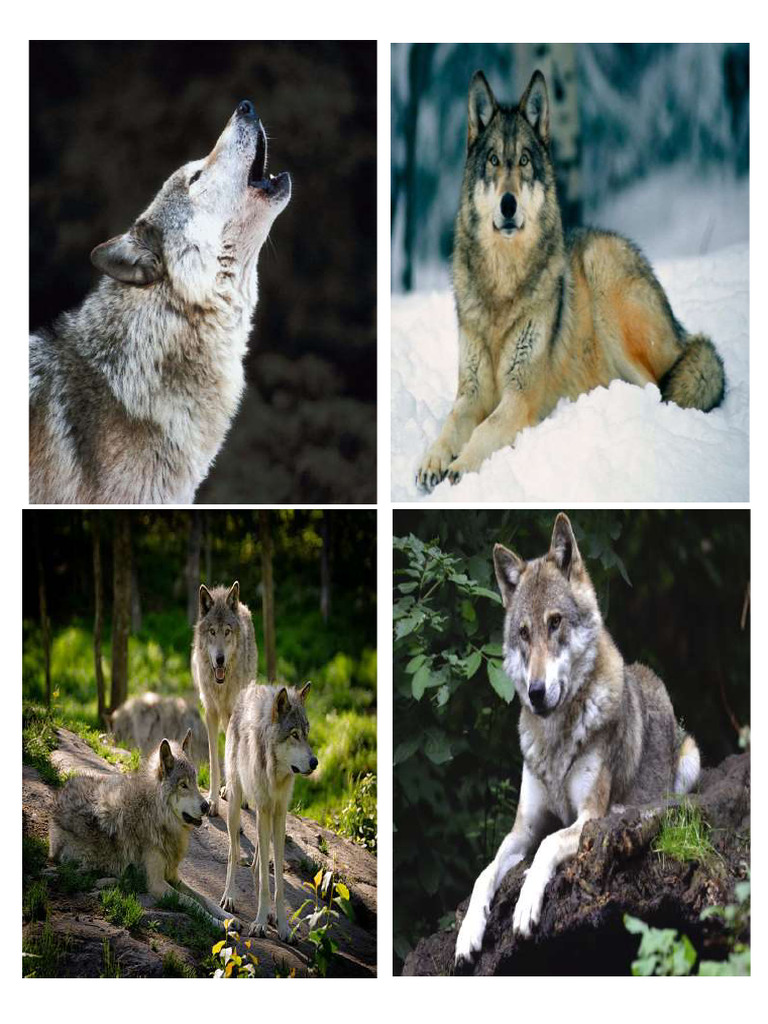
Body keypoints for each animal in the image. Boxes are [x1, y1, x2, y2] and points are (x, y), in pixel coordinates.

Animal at [49, 730, 231, 926]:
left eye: (196, 782)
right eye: (183, 785)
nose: (206, 806)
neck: (155, 815)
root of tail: (60, 794)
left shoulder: (173, 876)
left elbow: (204, 898)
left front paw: (227, 916)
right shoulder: (156, 883)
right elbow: (192, 902)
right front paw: (218, 924)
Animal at [191, 581, 257, 816]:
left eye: (227, 632)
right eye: (212, 632)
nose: (219, 659)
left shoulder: (231, 715)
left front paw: (235, 795)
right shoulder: (210, 713)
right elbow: (213, 761)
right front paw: (211, 801)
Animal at [219, 682, 318, 941]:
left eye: (307, 733)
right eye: (294, 734)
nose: (315, 762)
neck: (275, 774)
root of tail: (249, 689)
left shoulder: (279, 813)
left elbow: (278, 883)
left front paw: (282, 925)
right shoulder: (264, 809)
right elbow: (265, 879)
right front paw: (260, 923)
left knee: (256, 865)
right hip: (235, 803)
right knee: (234, 853)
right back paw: (229, 897)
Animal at [416, 70, 725, 491]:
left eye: (524, 161)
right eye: (494, 160)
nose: (508, 204)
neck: (503, 283)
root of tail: (682, 334)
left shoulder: (520, 395)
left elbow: (483, 431)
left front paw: (460, 466)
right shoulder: (472, 394)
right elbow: (449, 426)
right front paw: (432, 460)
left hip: (603, 272)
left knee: (654, 387)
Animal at [454, 513, 700, 967]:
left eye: (555, 622)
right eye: (524, 633)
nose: (536, 692)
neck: (555, 739)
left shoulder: (585, 817)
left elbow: (548, 846)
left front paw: (525, 906)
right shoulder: (522, 829)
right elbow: (484, 873)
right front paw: (467, 935)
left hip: (689, 760)